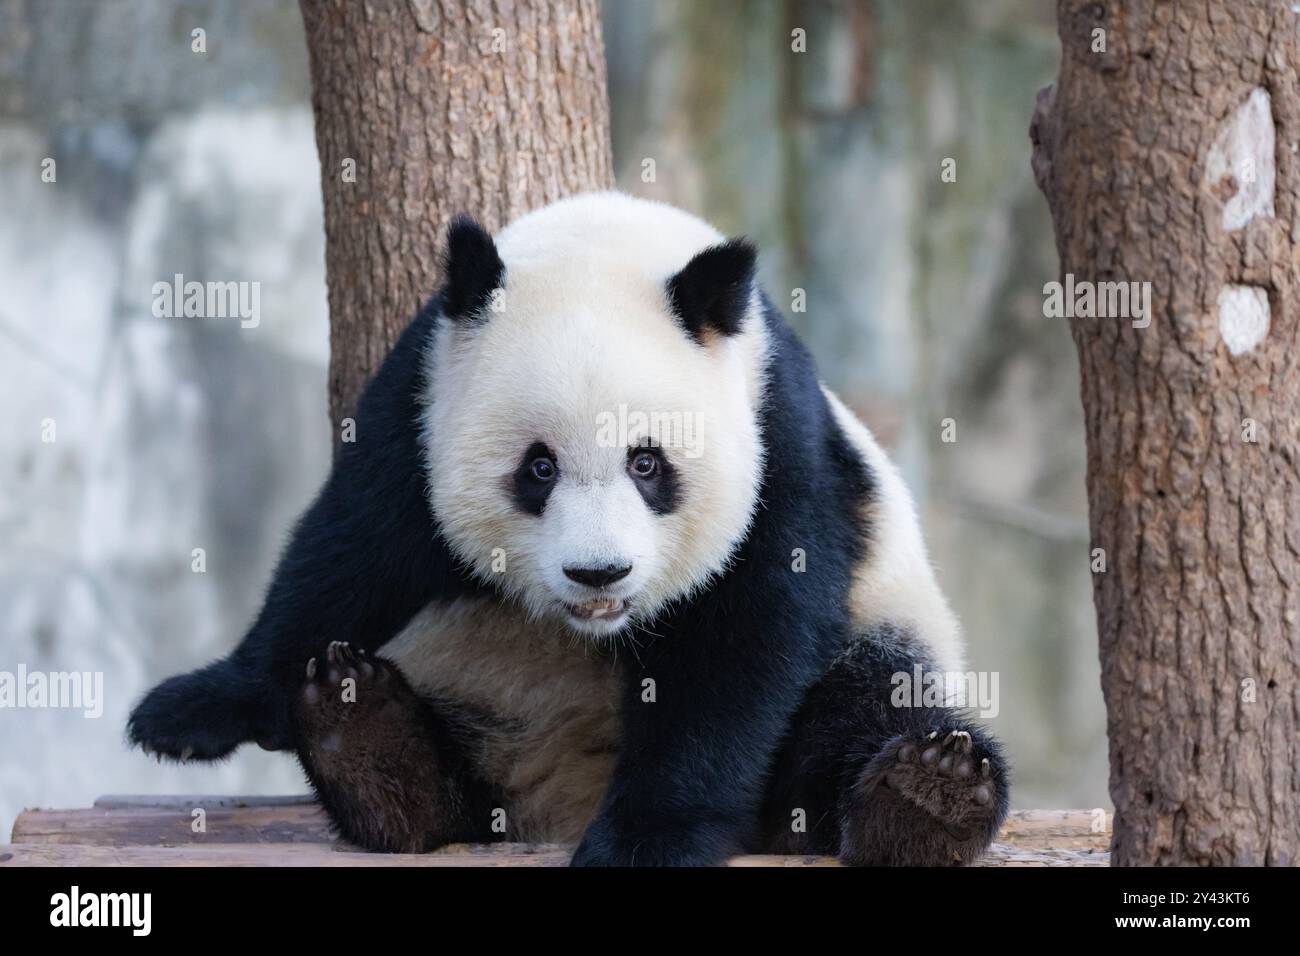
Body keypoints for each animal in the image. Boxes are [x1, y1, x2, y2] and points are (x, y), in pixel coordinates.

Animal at [128, 192, 1010, 866]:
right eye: (539, 467)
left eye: (648, 463)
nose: (599, 574)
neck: (607, 244)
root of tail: (557, 797)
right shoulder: (419, 396)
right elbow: (349, 550)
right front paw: (195, 708)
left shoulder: (777, 436)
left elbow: (747, 636)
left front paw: (650, 838)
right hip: (473, 682)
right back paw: (371, 743)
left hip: (888, 616)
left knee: (869, 702)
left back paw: (926, 794)